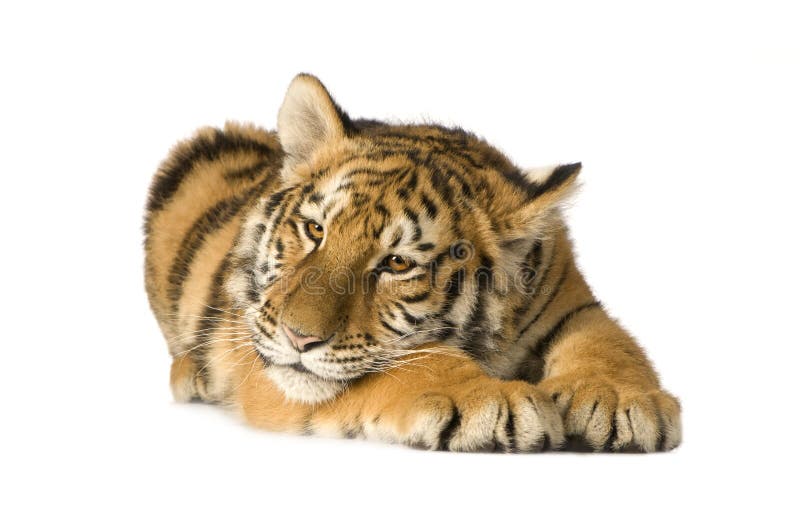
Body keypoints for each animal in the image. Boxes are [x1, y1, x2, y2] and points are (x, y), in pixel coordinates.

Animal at [144, 73, 681, 452]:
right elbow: (409, 365)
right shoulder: (265, 361)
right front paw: (493, 399)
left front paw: (623, 401)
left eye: (398, 264)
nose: (299, 339)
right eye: (315, 231)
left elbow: (609, 343)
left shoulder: (570, 299)